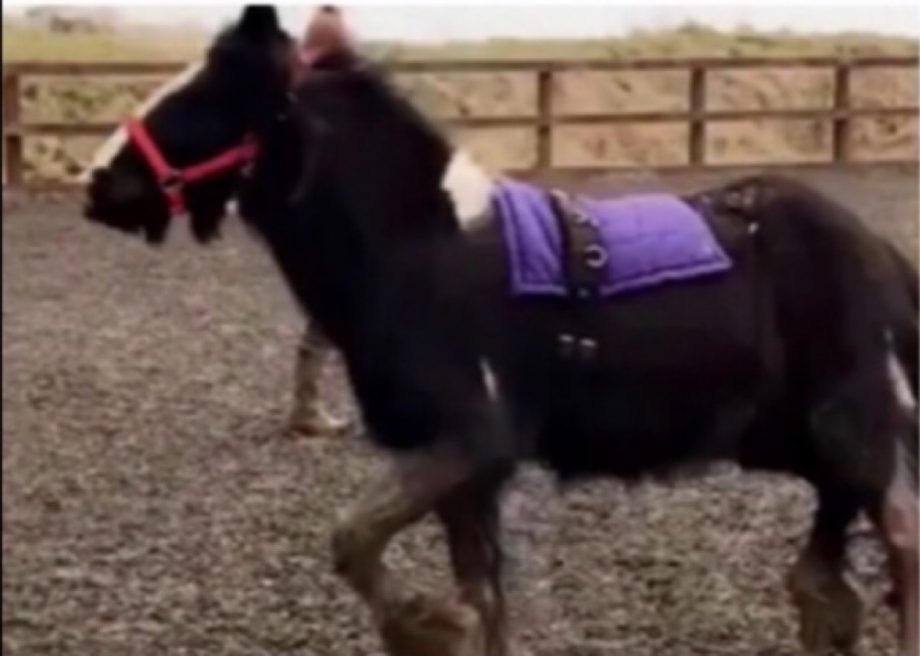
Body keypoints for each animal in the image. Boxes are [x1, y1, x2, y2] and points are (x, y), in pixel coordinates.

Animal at [82, 6, 918, 656]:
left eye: (213, 98)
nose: (98, 183)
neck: (425, 251)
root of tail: (880, 254)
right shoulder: (463, 476)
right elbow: (481, 598)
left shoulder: (465, 444)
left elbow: (355, 542)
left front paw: (423, 623)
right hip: (811, 454)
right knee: (823, 582)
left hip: (857, 436)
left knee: (901, 544)